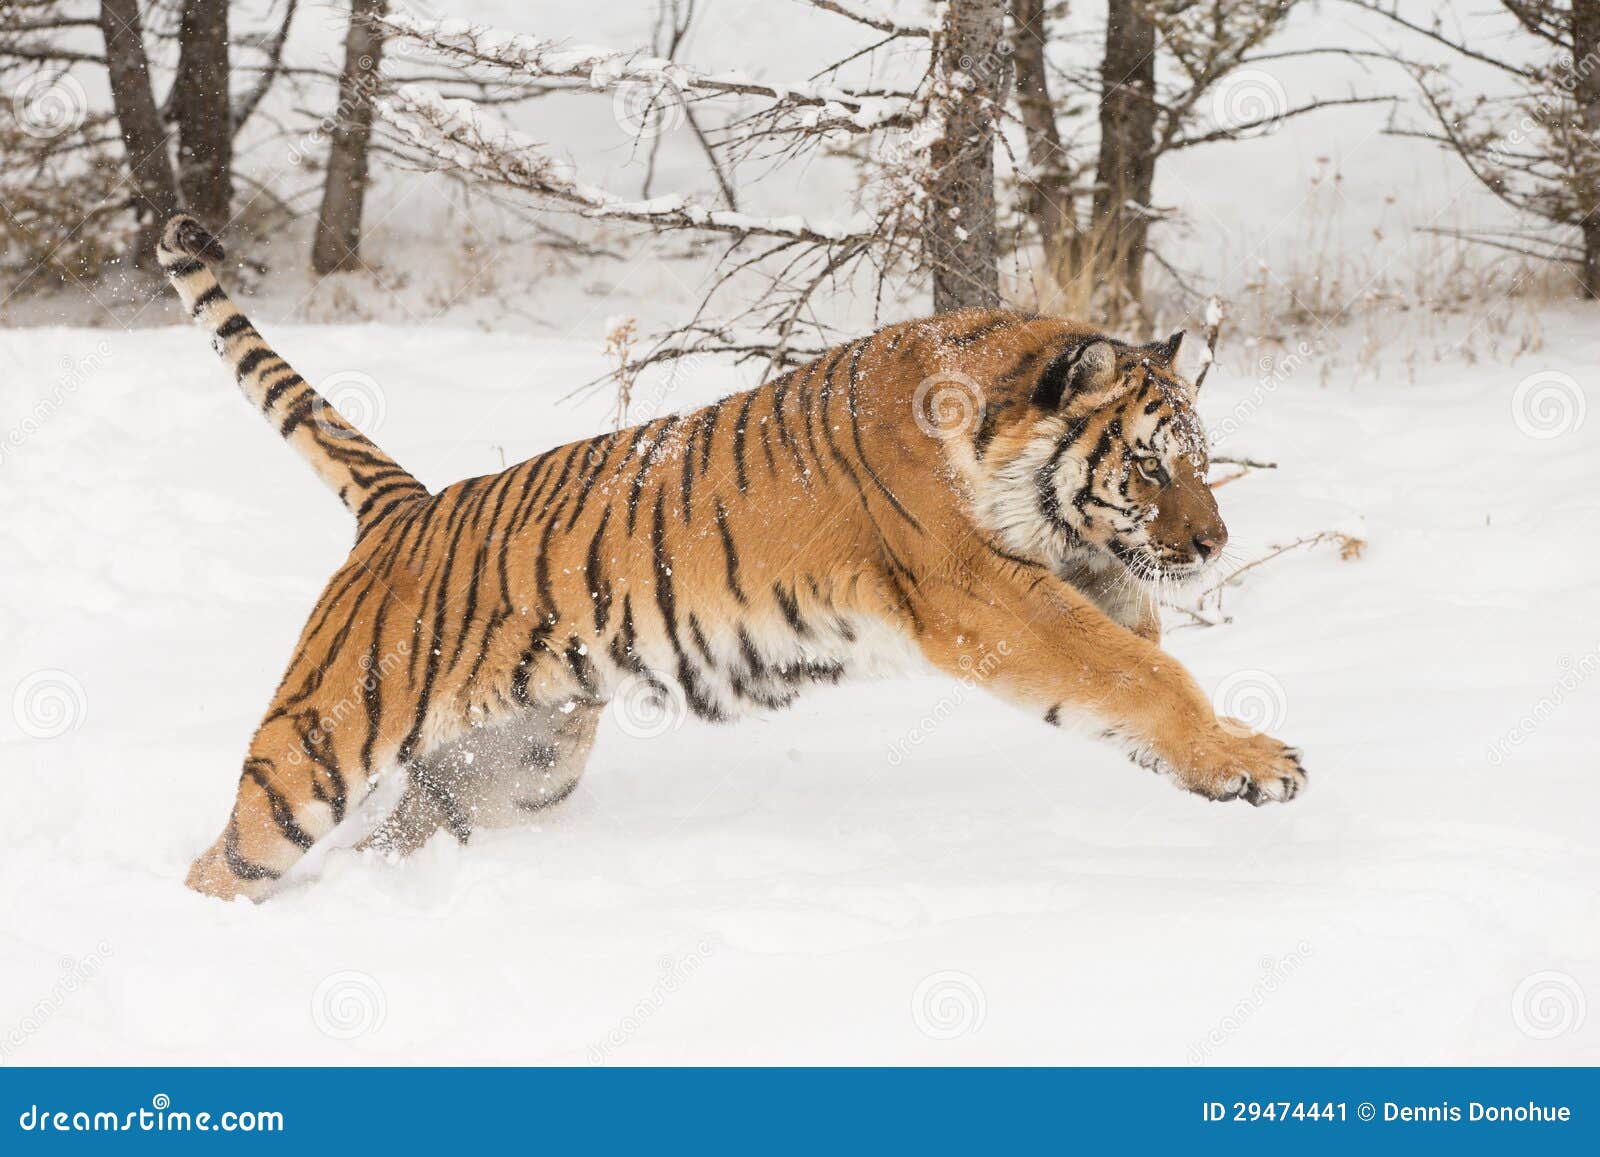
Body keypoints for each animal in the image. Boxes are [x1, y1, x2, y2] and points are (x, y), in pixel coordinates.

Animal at [156, 213, 1305, 902]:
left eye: (1202, 463)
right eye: (1151, 466)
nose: (1214, 542)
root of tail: (408, 505)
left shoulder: (1072, 574)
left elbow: (1142, 658)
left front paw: (1214, 762)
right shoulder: (985, 597)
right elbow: (1137, 670)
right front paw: (1251, 759)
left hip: (517, 766)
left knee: (412, 831)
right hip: (316, 751)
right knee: (228, 854)